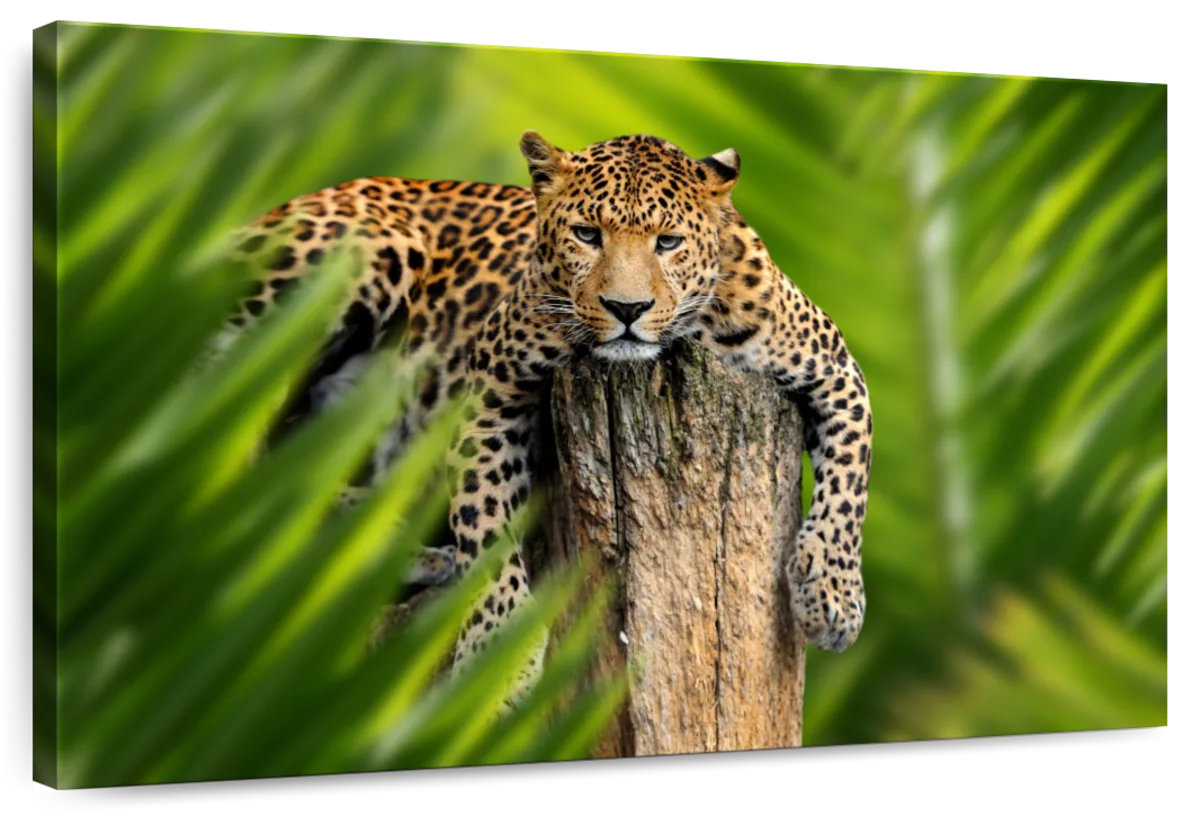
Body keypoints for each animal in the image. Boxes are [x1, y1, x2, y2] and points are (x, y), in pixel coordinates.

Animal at [231, 131, 873, 701]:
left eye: (668, 242)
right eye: (587, 235)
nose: (627, 309)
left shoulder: (834, 367)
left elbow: (850, 482)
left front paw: (832, 596)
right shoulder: (489, 385)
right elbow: (485, 520)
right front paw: (497, 659)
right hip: (351, 259)